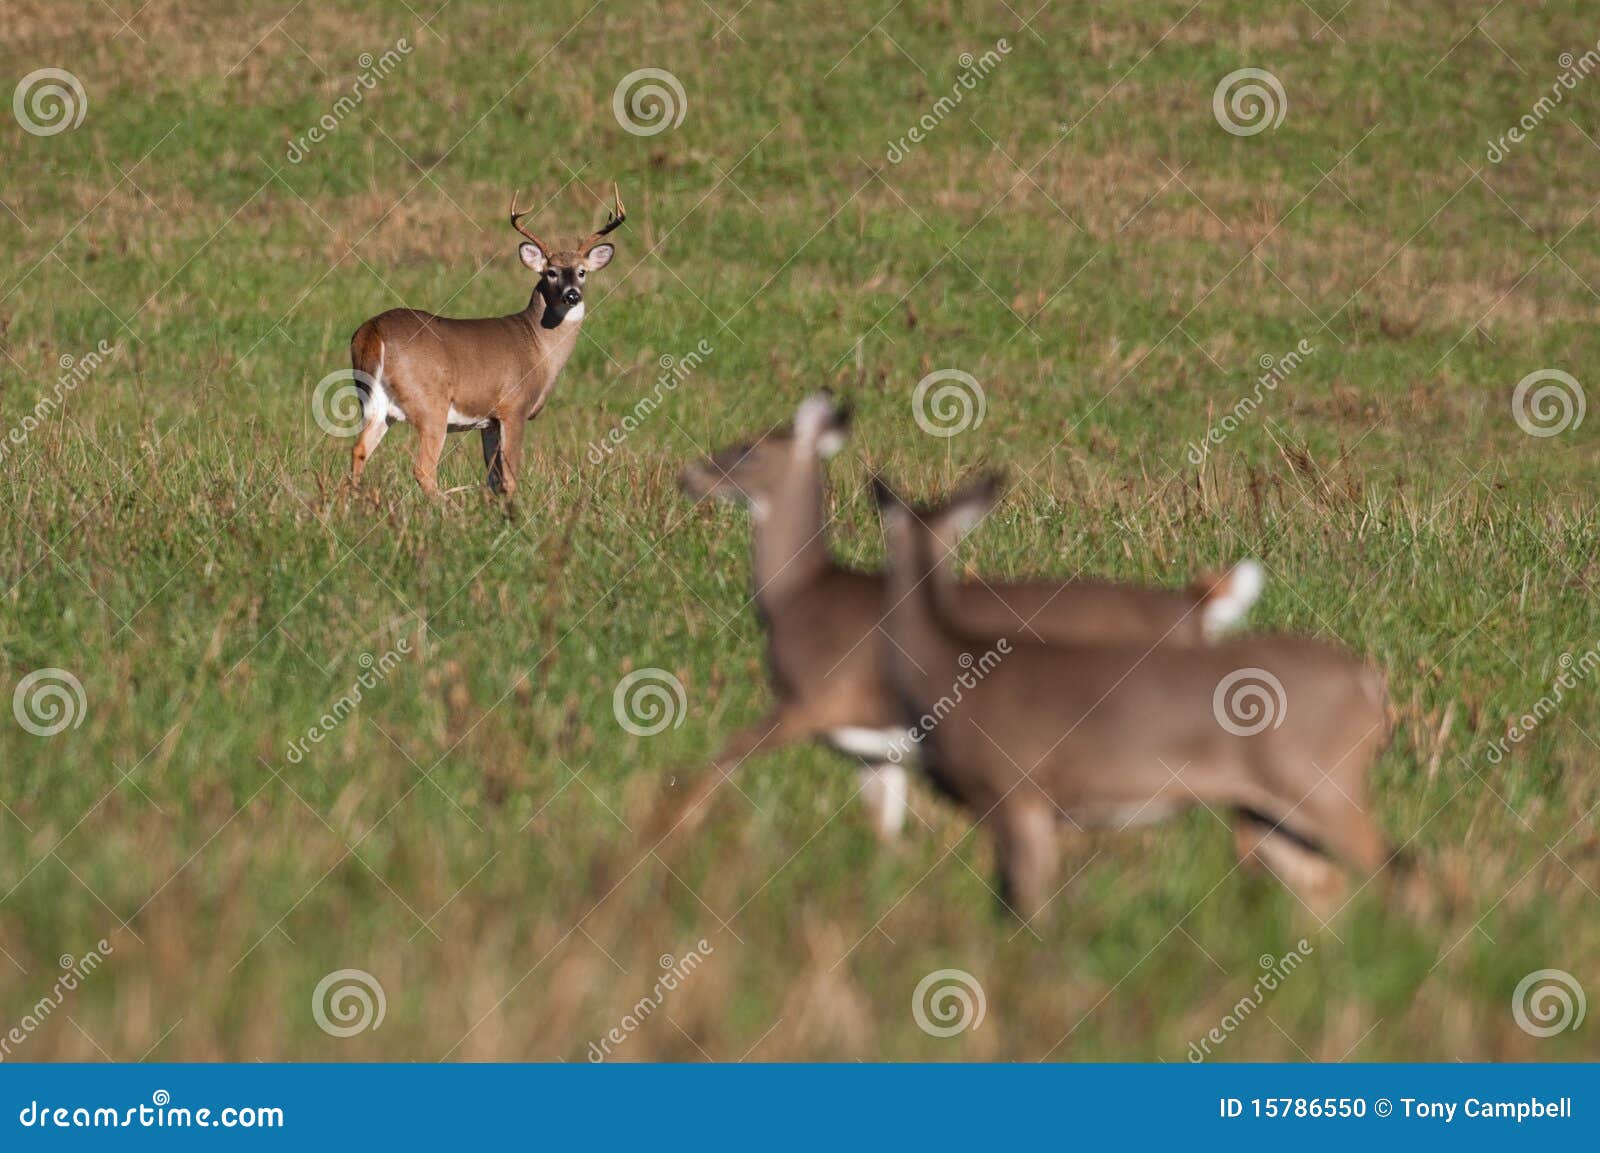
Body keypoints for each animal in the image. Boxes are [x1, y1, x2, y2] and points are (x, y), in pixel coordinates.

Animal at [347, 186, 625, 498]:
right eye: (551, 272)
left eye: (581, 271)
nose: (572, 295)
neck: (538, 345)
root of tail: (373, 330)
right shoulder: (514, 407)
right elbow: (511, 477)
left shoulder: (488, 421)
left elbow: (494, 478)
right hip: (431, 404)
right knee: (423, 469)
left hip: (377, 405)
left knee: (359, 449)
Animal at [663, 393, 1264, 844]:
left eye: (746, 450)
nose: (688, 476)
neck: (802, 594)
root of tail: (1193, 609)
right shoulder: (873, 750)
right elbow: (883, 831)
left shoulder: (820, 698)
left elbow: (721, 758)